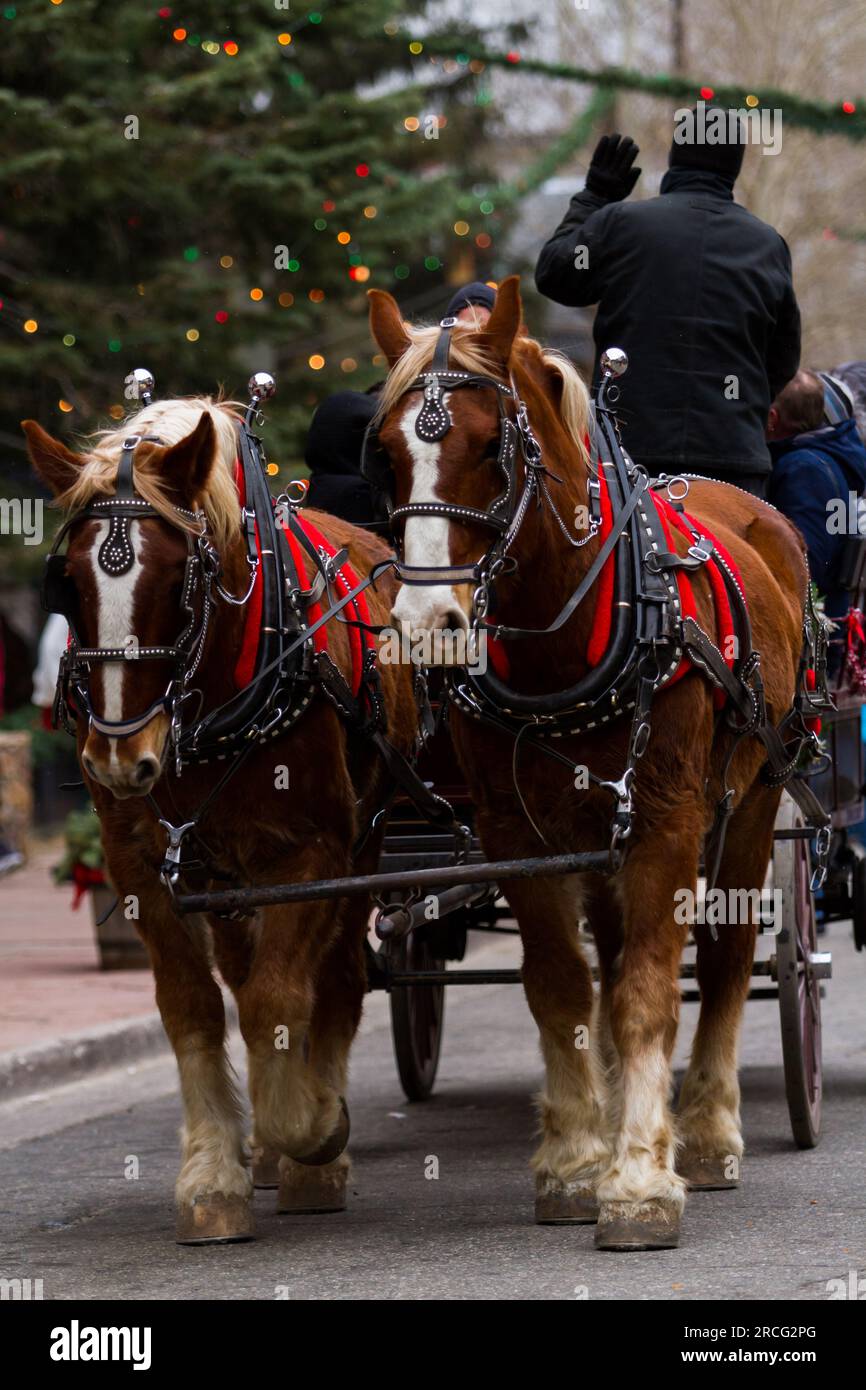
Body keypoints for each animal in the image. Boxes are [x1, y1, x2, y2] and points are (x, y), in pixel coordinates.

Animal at [23, 397, 415, 1244]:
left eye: (180, 578)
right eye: (68, 584)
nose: (120, 757)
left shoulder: (311, 855)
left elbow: (279, 999)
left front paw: (313, 1130)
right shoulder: (144, 869)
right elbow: (195, 1008)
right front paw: (215, 1174)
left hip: (362, 845)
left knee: (334, 977)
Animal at [367, 275, 810, 1250]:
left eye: (490, 448)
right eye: (385, 453)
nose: (427, 628)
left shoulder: (670, 820)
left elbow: (649, 991)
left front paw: (642, 1180)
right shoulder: (518, 832)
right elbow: (564, 991)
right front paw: (578, 1159)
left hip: (753, 803)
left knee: (726, 955)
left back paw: (709, 1131)